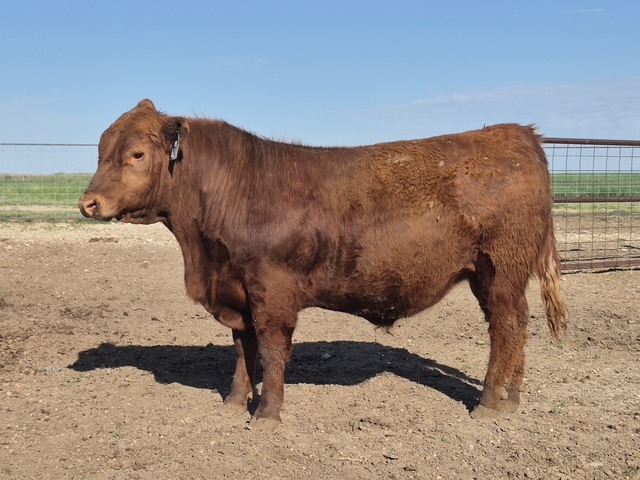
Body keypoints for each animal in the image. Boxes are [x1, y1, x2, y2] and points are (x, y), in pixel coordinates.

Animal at [78, 99, 566, 429]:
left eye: (137, 154)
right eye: (100, 149)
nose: (89, 203)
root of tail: (517, 133)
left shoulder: (271, 290)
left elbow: (272, 350)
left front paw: (267, 414)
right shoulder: (236, 293)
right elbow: (242, 348)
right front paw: (234, 404)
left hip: (501, 268)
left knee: (505, 328)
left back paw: (488, 404)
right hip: (494, 276)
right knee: (518, 325)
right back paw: (512, 400)